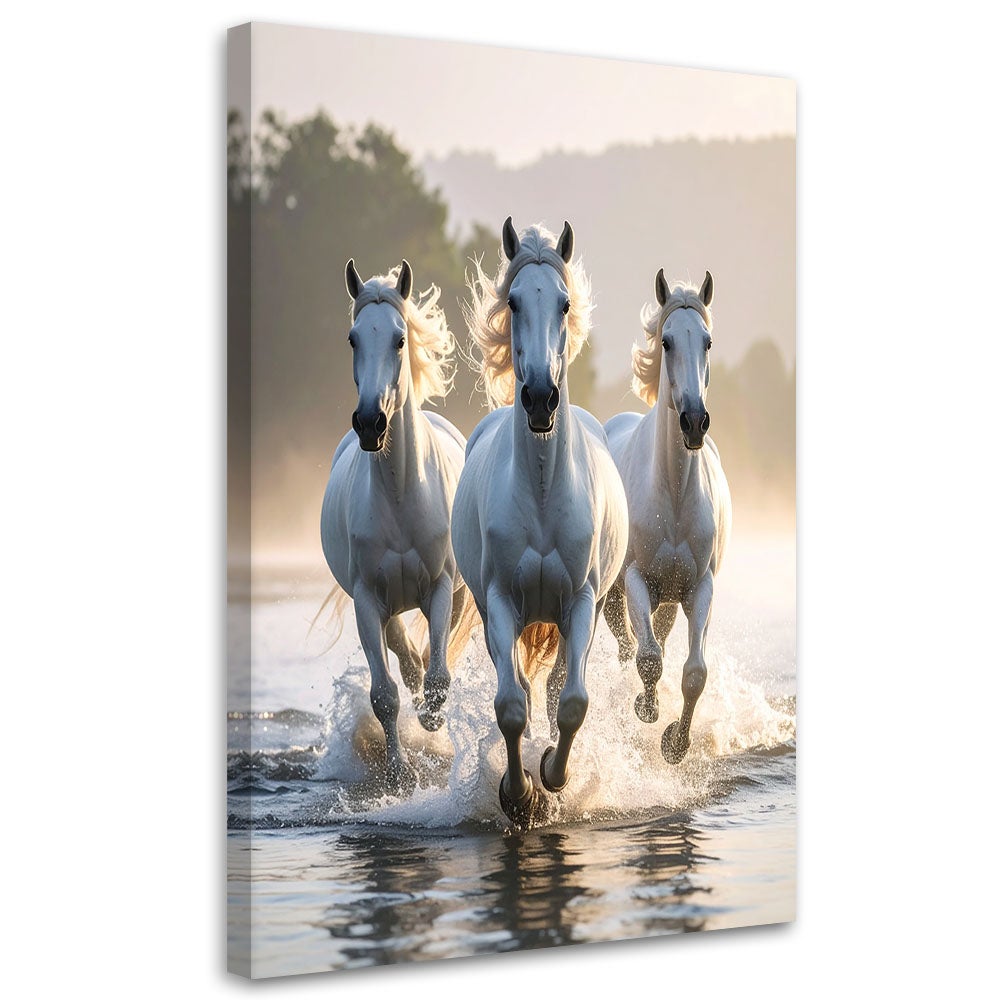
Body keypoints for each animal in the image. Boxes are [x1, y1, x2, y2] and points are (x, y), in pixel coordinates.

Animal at [319, 259, 477, 792]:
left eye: (398, 338)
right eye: (352, 339)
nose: (371, 423)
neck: (402, 492)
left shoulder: (441, 587)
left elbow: (438, 678)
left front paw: (432, 719)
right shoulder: (368, 600)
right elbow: (384, 694)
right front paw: (398, 772)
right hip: (384, 607)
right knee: (403, 660)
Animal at [452, 218, 628, 826]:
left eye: (563, 301)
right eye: (512, 301)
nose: (538, 399)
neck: (544, 496)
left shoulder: (581, 602)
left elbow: (571, 703)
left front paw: (553, 773)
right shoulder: (501, 601)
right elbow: (510, 706)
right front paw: (518, 793)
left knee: (552, 690)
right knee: (525, 690)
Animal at [603, 269, 732, 763]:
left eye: (708, 341)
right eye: (667, 341)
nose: (694, 421)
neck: (674, 498)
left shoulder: (700, 589)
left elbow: (694, 672)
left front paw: (675, 743)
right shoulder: (638, 581)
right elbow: (648, 658)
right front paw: (646, 710)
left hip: (670, 602)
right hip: (613, 597)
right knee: (627, 647)